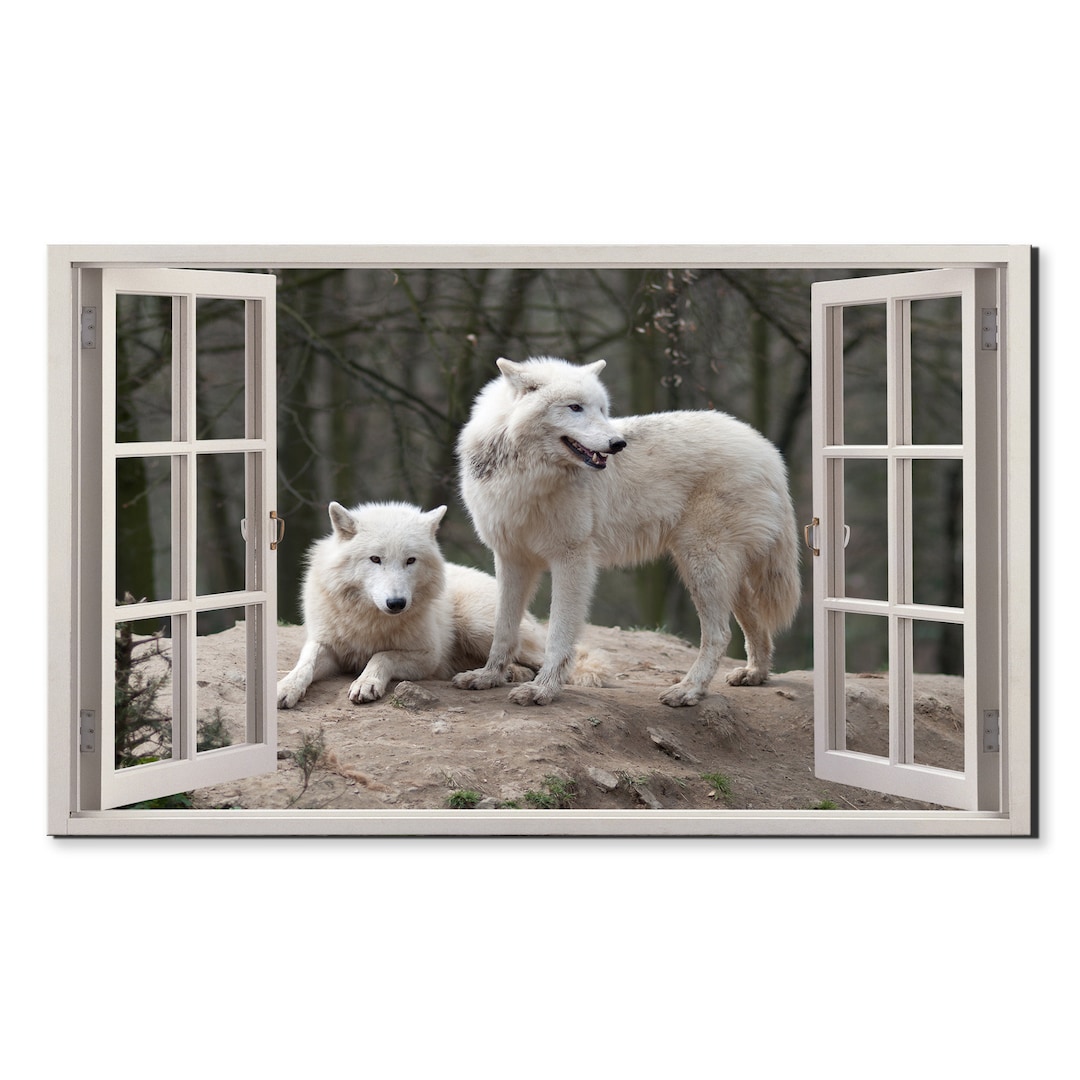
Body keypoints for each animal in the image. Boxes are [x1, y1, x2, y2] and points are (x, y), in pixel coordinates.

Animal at [276, 500, 604, 708]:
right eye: (375, 559)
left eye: (410, 560)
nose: (396, 603)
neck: (370, 620)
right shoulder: (326, 644)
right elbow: (304, 664)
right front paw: (286, 688)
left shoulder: (428, 657)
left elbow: (382, 655)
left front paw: (366, 683)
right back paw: (508, 674)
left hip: (477, 627)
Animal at [452, 356, 800, 707]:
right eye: (575, 407)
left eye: (603, 409)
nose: (618, 444)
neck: (525, 476)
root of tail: (767, 451)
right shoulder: (511, 559)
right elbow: (503, 630)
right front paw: (488, 676)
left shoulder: (573, 560)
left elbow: (559, 634)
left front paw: (543, 689)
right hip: (723, 572)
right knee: (753, 625)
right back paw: (754, 674)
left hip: (701, 565)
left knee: (720, 634)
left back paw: (689, 689)